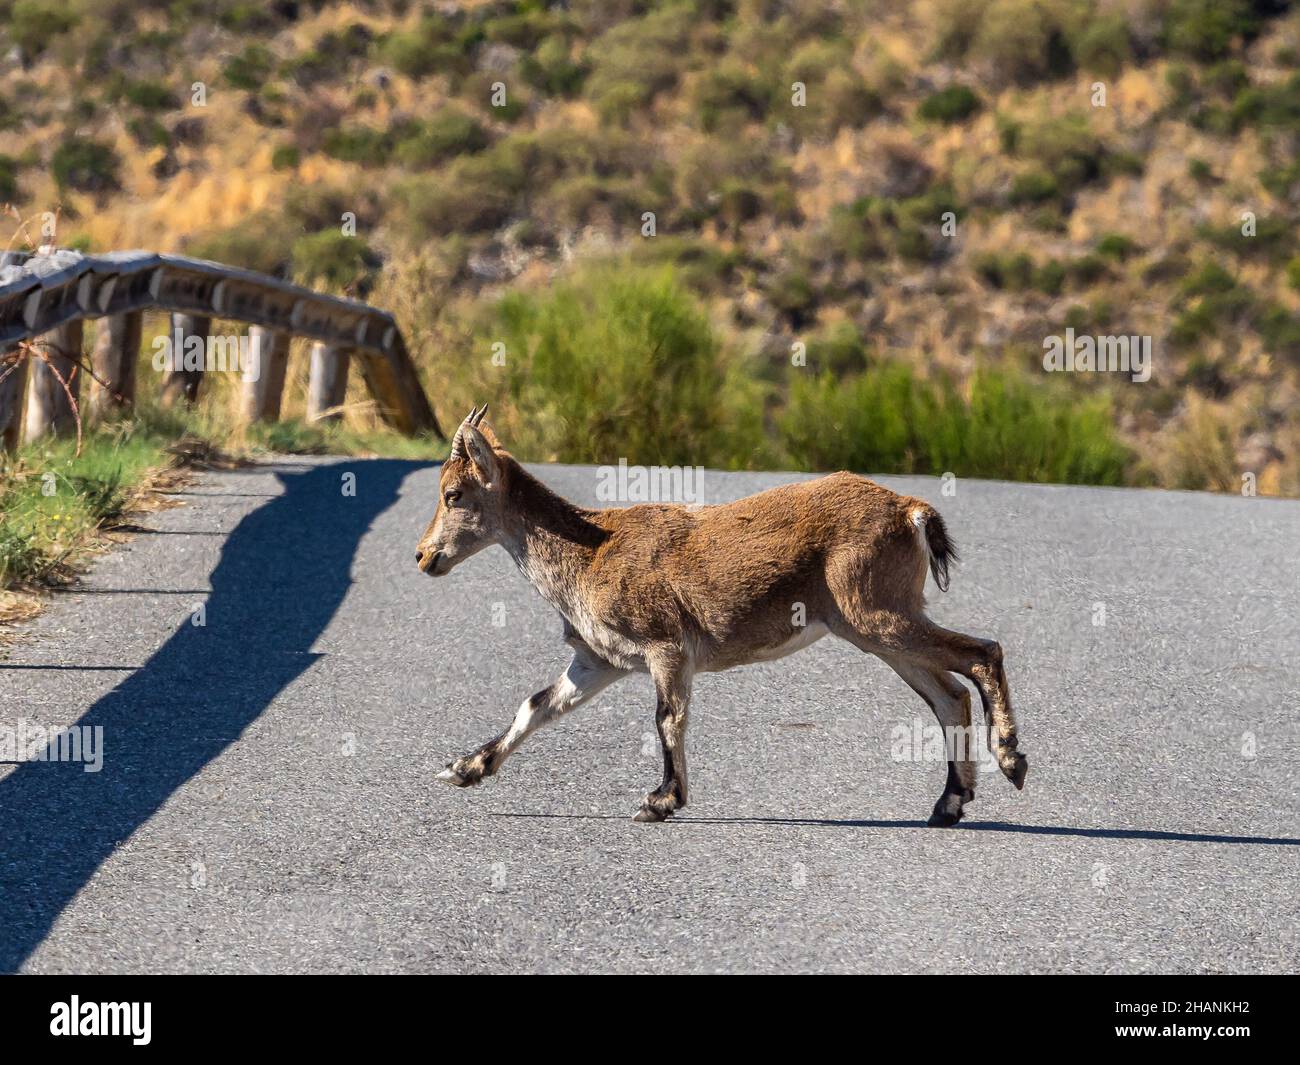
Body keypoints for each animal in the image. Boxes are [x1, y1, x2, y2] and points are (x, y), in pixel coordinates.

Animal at [416, 406, 1028, 825]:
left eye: (453, 494)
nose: (424, 556)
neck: (590, 552)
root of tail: (913, 512)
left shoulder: (665, 648)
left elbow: (667, 718)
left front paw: (661, 800)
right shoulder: (599, 662)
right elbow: (536, 705)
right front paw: (464, 769)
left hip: (876, 613)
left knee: (982, 653)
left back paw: (1010, 760)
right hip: (878, 627)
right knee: (949, 695)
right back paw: (949, 803)